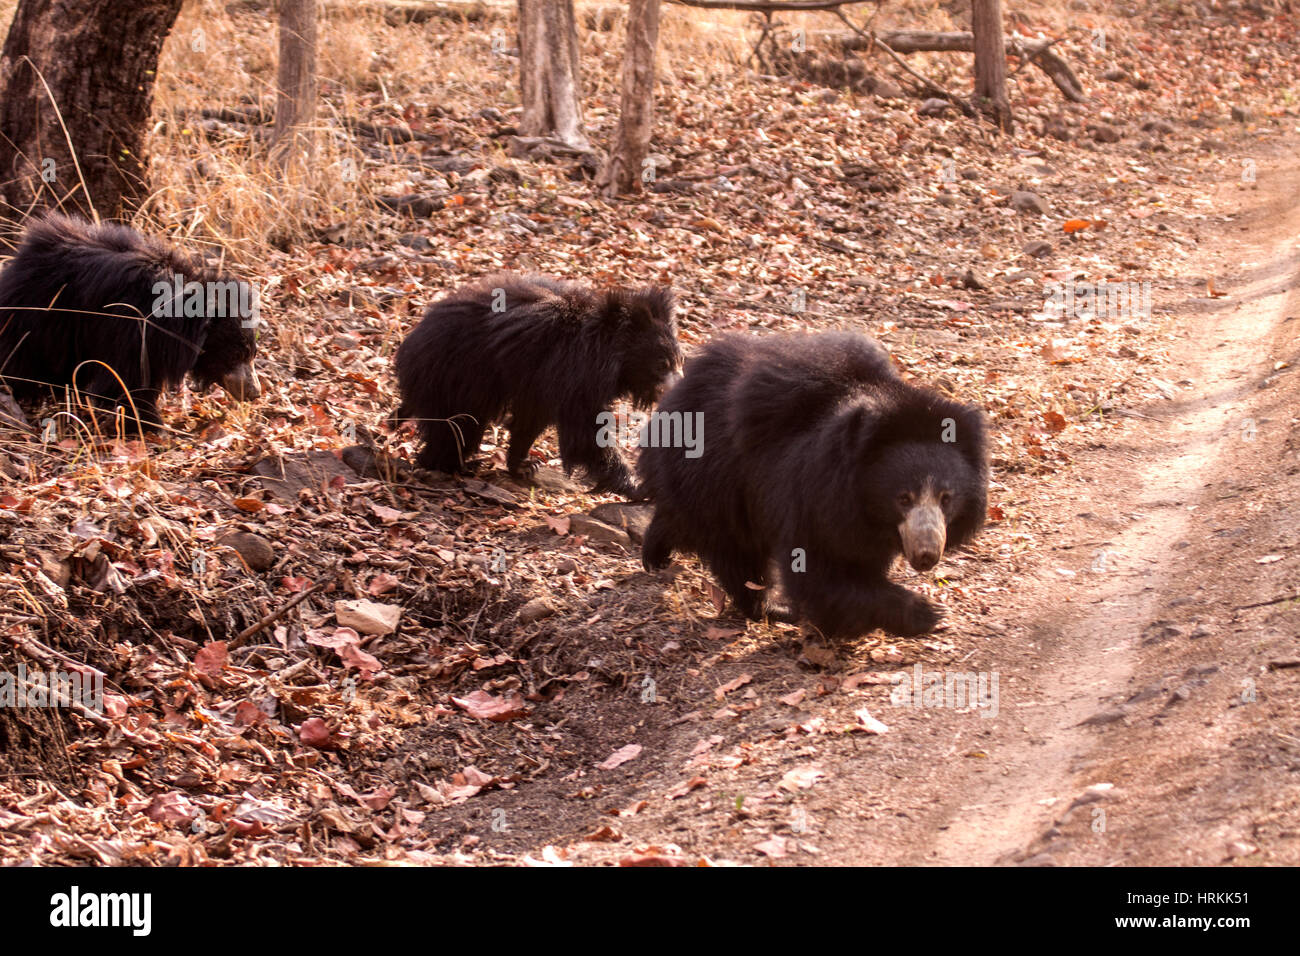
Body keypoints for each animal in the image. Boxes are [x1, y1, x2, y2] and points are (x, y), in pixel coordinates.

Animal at [0, 213, 261, 431]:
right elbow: (128, 378)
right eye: (236, 355)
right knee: (20, 357)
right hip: (39, 314)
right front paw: (148, 424)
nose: (255, 393)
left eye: (252, 355)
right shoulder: (132, 327)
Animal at [394, 274, 680, 497]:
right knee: (458, 428)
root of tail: (409, 346)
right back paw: (446, 464)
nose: (677, 391)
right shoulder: (573, 372)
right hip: (455, 378)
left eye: (678, 360)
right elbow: (585, 431)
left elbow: (531, 420)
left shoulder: (541, 382)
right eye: (662, 364)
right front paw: (636, 485)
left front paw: (522, 465)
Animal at [638, 330, 988, 638]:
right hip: (714, 479)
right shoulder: (809, 497)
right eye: (903, 498)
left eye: (946, 498)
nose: (927, 554)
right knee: (735, 550)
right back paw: (767, 606)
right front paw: (927, 612)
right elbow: (818, 571)